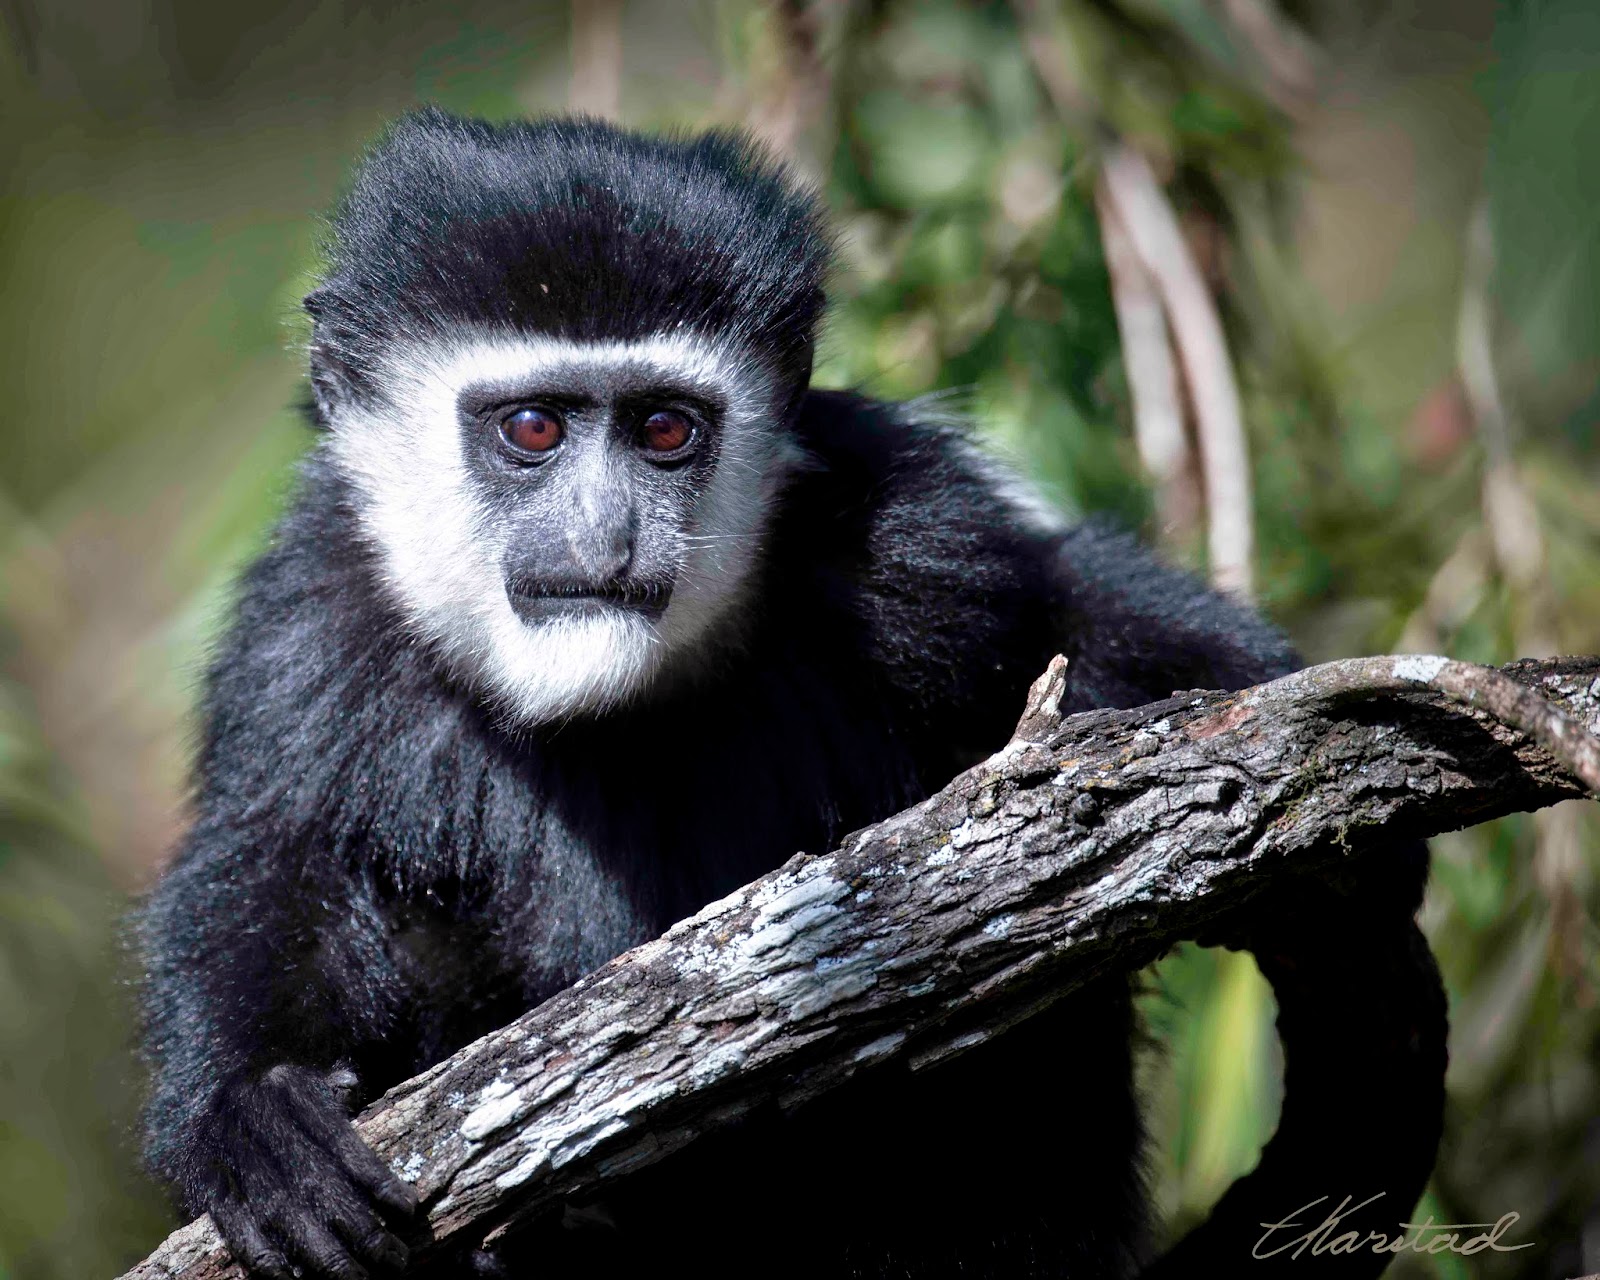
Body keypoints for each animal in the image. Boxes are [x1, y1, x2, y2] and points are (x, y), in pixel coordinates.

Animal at [135, 107, 1445, 1279]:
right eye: (532, 426)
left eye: (667, 429)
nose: (606, 534)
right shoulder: (309, 628)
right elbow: (278, 860)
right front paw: (257, 1116)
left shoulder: (913, 539)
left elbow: (1072, 614)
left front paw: (1326, 801)